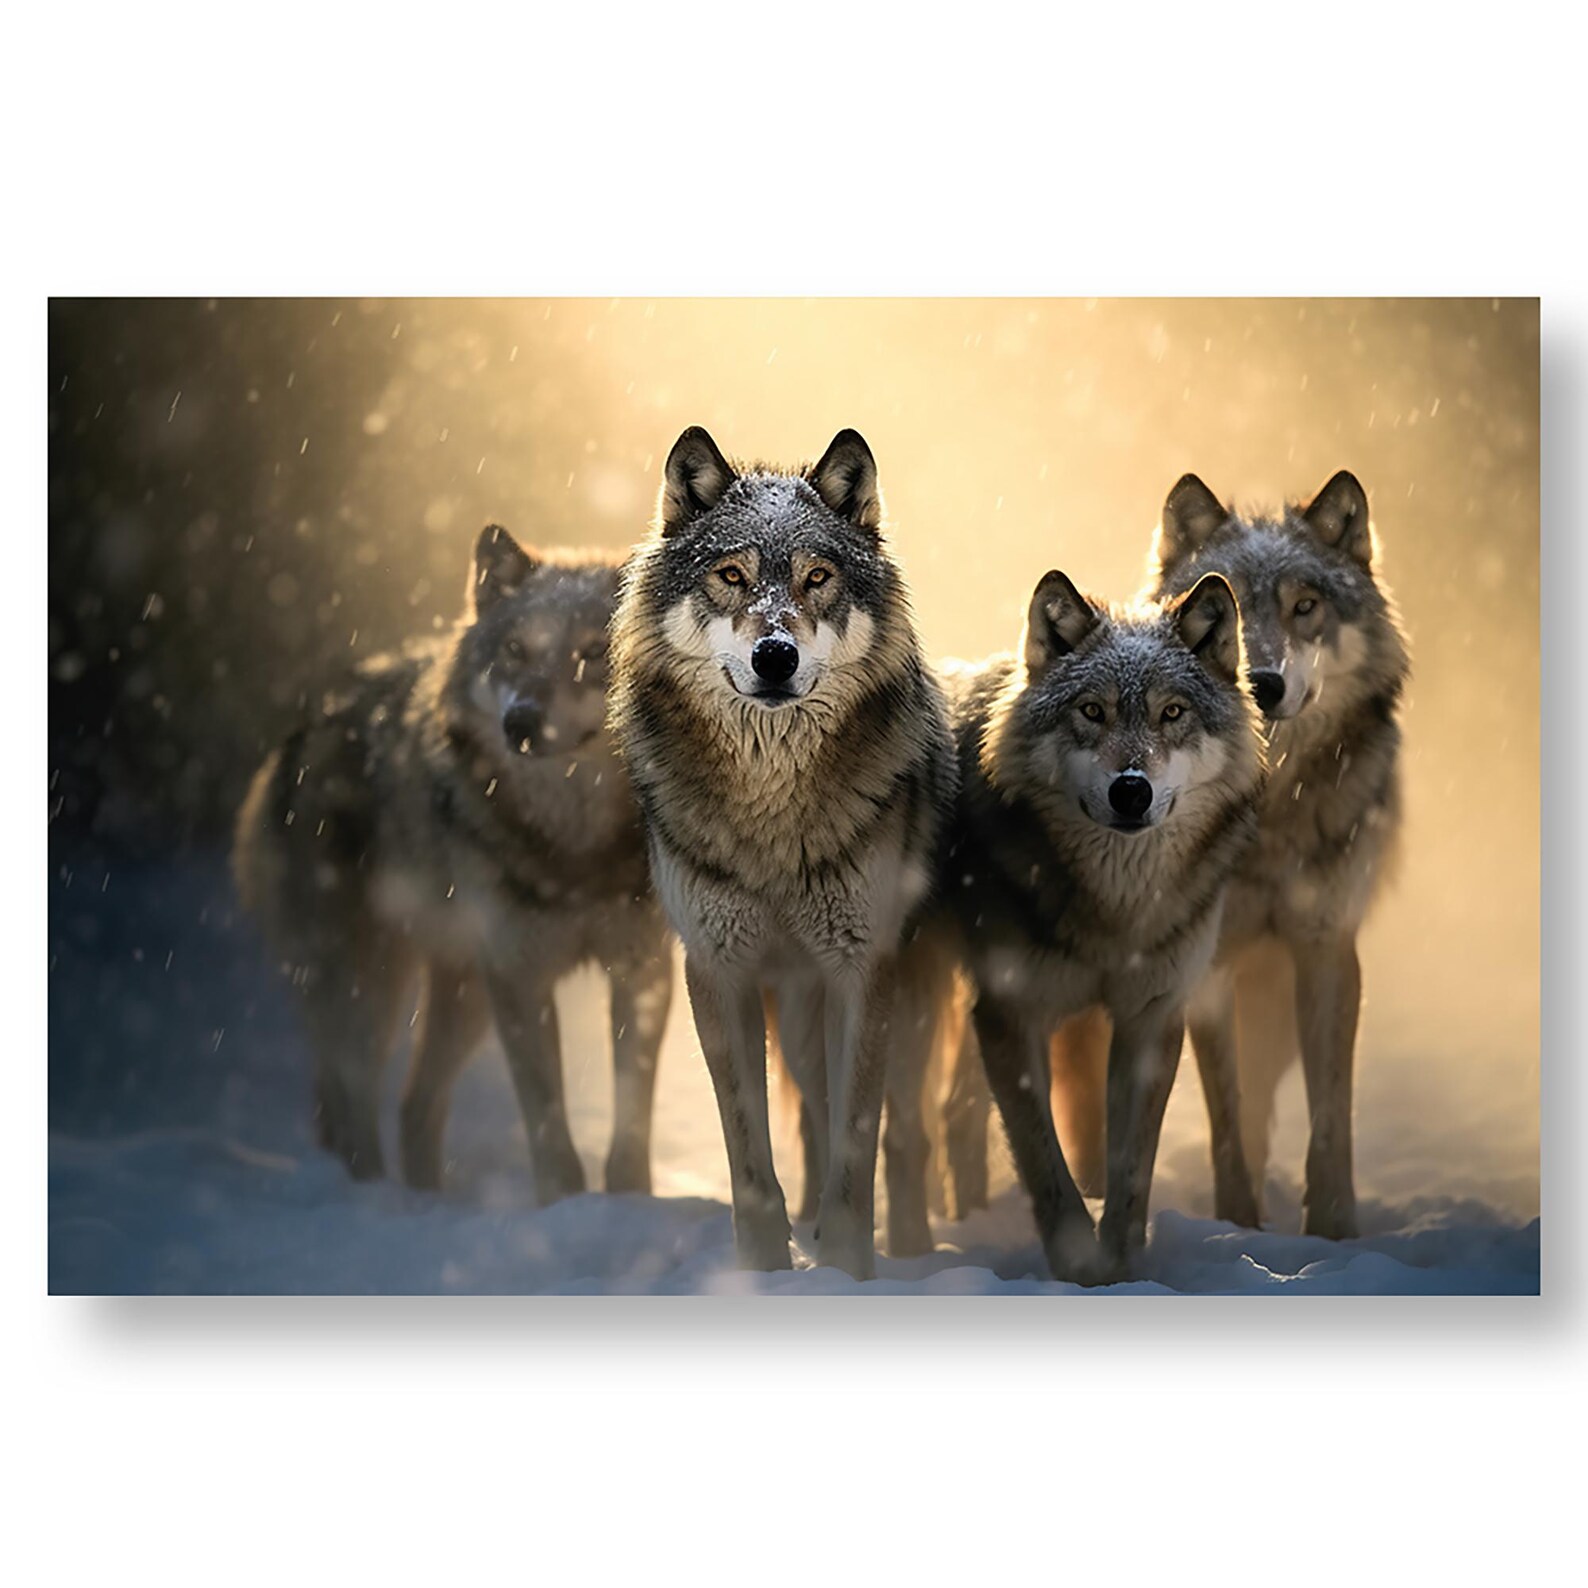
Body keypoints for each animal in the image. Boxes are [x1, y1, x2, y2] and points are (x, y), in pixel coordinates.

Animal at [233, 528, 673, 1204]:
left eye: (593, 651)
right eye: (515, 649)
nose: (519, 722)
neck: (572, 847)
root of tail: (308, 724)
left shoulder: (642, 972)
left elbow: (631, 1124)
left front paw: (628, 1205)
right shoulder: (519, 977)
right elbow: (548, 1125)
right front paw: (562, 1205)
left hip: (461, 997)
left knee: (413, 1106)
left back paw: (429, 1203)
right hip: (371, 987)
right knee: (357, 1103)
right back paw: (379, 1204)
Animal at [608, 427, 956, 1278]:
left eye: (817, 578)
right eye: (731, 575)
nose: (774, 654)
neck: (772, 811)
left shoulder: (862, 970)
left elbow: (856, 1147)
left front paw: (848, 1273)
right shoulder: (718, 970)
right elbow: (750, 1153)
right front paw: (769, 1268)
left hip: (896, 1006)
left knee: (906, 1134)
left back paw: (907, 1250)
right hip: (797, 1016)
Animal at [935, 570, 1264, 1281]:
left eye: (1173, 713)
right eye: (1092, 711)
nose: (1131, 789)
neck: (1116, 913)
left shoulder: (1151, 1017)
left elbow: (1131, 1167)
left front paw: (1122, 1266)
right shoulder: (1009, 1015)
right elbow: (1045, 1166)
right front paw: (1080, 1270)